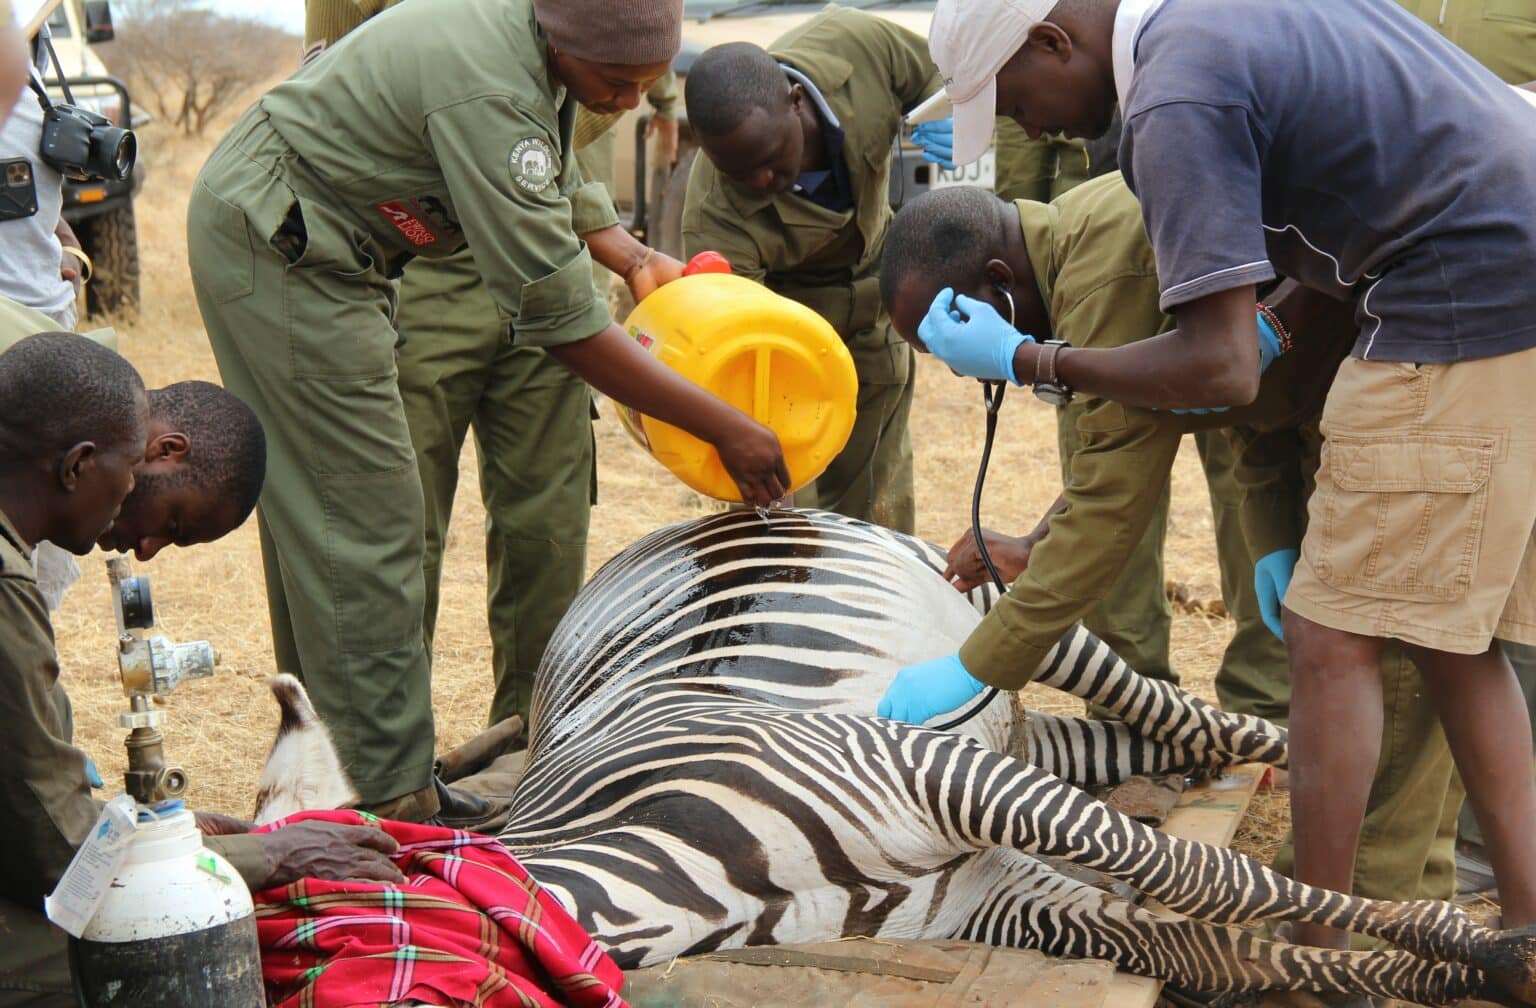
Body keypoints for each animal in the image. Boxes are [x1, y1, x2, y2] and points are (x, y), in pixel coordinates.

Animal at [261, 508, 1536, 1005]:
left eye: (298, 939)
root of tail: (681, 524)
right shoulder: (991, 898)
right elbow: (1230, 952)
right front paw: (1452, 975)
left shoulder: (946, 780)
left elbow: (1207, 879)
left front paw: (1487, 949)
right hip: (1025, 726)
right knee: (1158, 738)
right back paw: (1172, 774)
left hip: (996, 606)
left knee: (1198, 714)